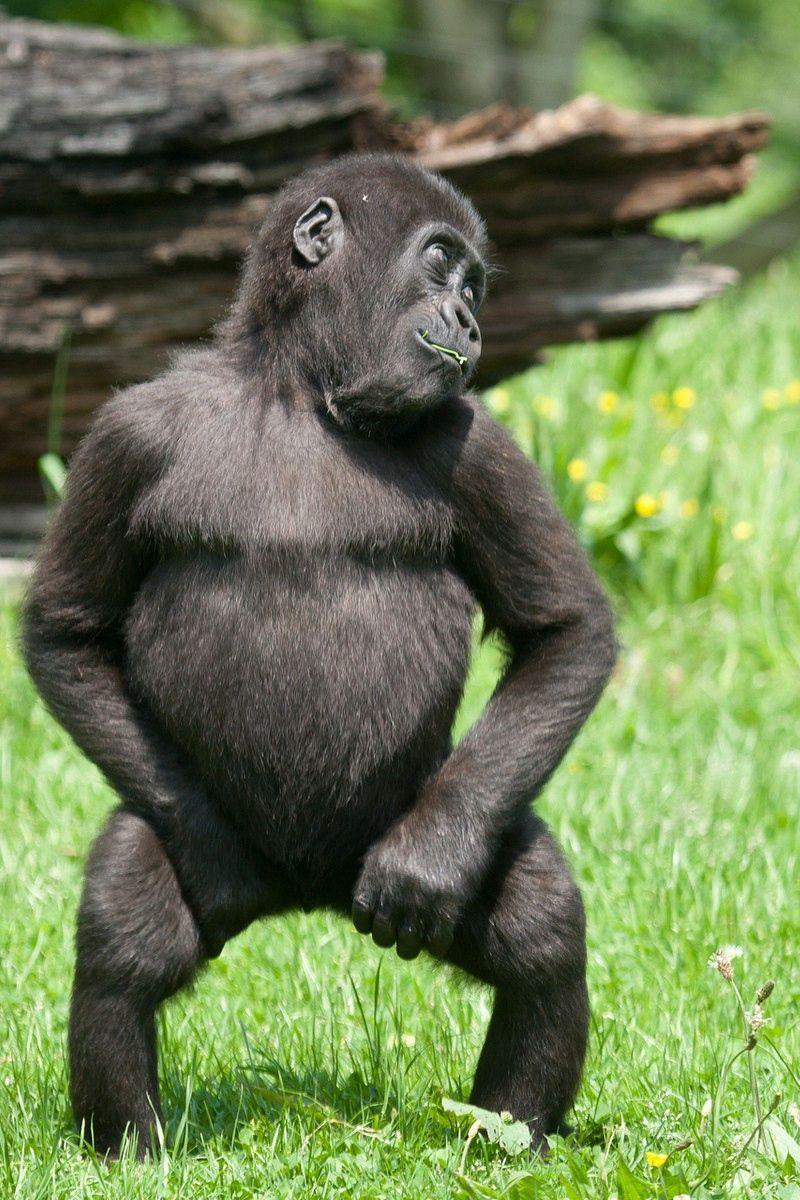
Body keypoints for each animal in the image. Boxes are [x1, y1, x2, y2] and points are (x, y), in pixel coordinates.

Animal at [22, 153, 616, 1158]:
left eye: (474, 287)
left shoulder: (477, 440)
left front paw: (429, 864)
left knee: (537, 922)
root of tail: (306, 893)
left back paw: (506, 1139)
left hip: (396, 835)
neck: (302, 390)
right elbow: (66, 630)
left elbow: (565, 632)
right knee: (124, 930)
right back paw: (131, 1148)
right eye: (442, 265)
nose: (470, 322)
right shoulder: (127, 434)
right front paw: (210, 855)